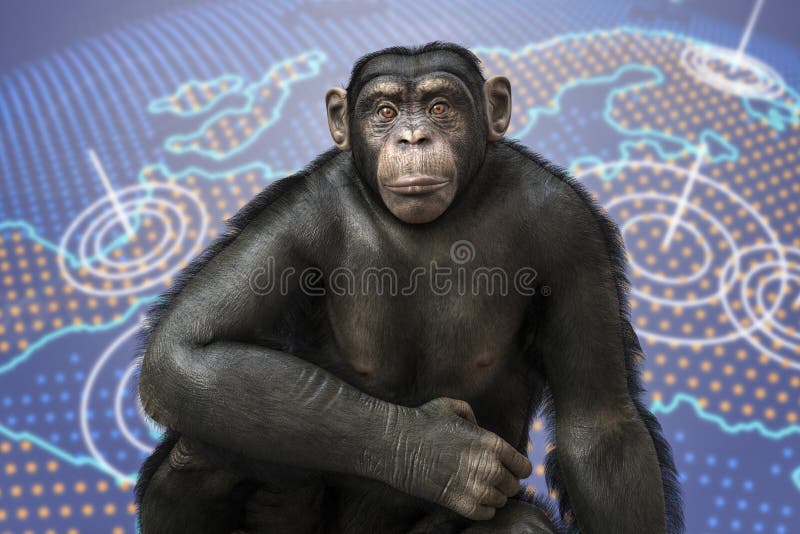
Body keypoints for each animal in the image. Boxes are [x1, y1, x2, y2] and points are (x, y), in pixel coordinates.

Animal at [135, 42, 683, 533]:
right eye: (385, 111)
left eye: (440, 107)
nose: (414, 137)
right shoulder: (299, 215)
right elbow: (187, 350)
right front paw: (443, 453)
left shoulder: (570, 228)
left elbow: (599, 428)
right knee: (205, 445)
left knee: (523, 523)